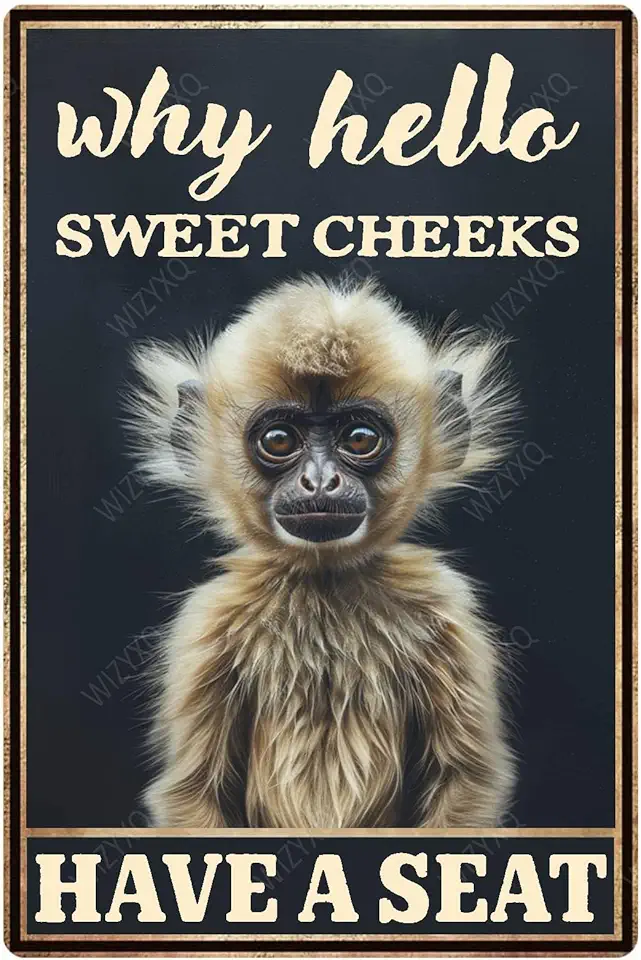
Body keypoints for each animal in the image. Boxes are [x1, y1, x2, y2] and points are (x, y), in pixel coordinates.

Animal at [128, 275, 517, 829]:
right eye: (278, 439)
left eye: (359, 438)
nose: (319, 480)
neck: (324, 584)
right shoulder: (206, 624)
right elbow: (191, 791)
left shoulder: (448, 613)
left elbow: (466, 780)